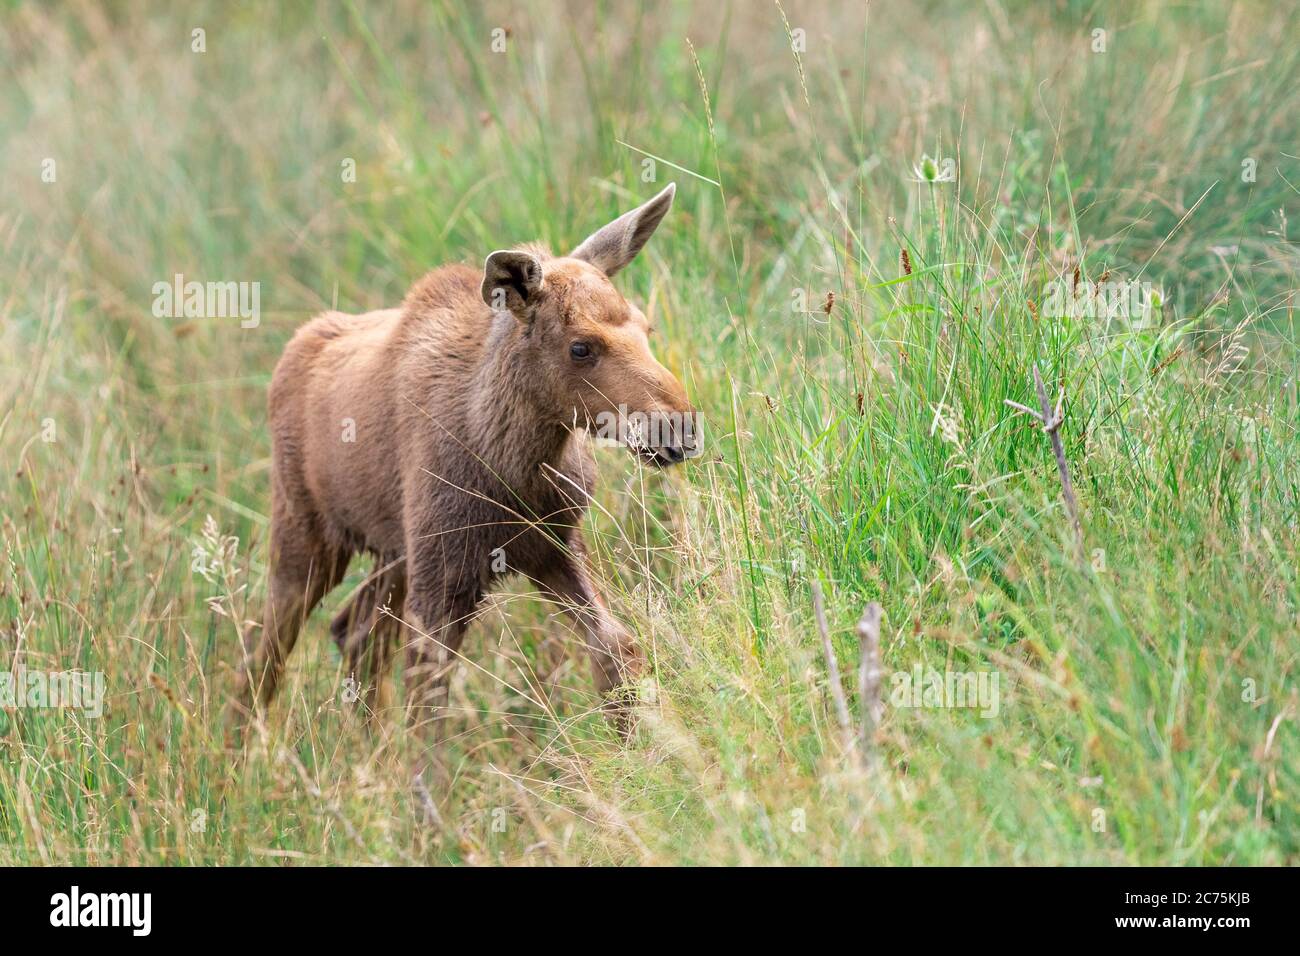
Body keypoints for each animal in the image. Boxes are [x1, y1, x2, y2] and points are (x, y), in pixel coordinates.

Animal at [230, 183, 695, 775]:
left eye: (646, 328)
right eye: (580, 346)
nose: (679, 427)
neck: (514, 463)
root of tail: (293, 352)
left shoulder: (550, 547)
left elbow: (616, 647)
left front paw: (637, 755)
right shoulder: (443, 575)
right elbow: (428, 716)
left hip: (395, 551)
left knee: (353, 631)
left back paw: (367, 759)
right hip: (306, 535)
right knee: (262, 650)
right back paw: (234, 766)